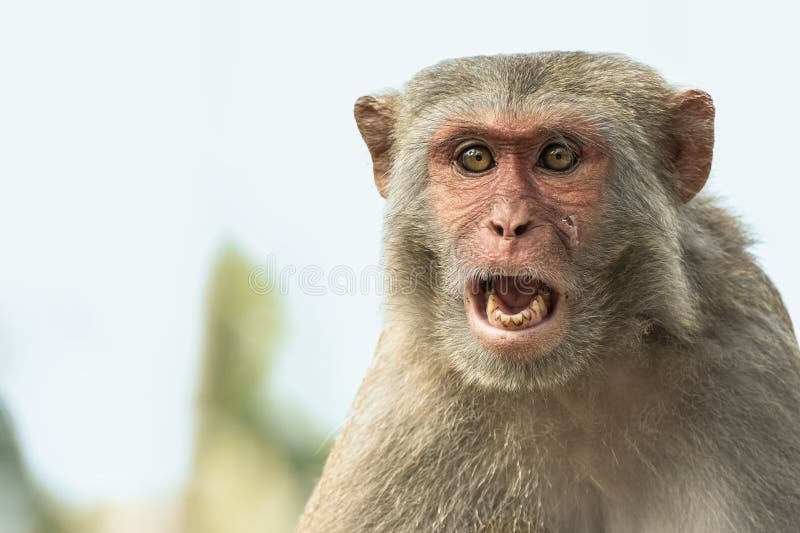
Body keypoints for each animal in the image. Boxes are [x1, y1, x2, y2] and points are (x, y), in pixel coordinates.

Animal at [296, 52, 800, 533]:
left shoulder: (750, 365)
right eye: (475, 158)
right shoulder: (402, 418)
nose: (508, 223)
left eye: (558, 157)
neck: (564, 380)